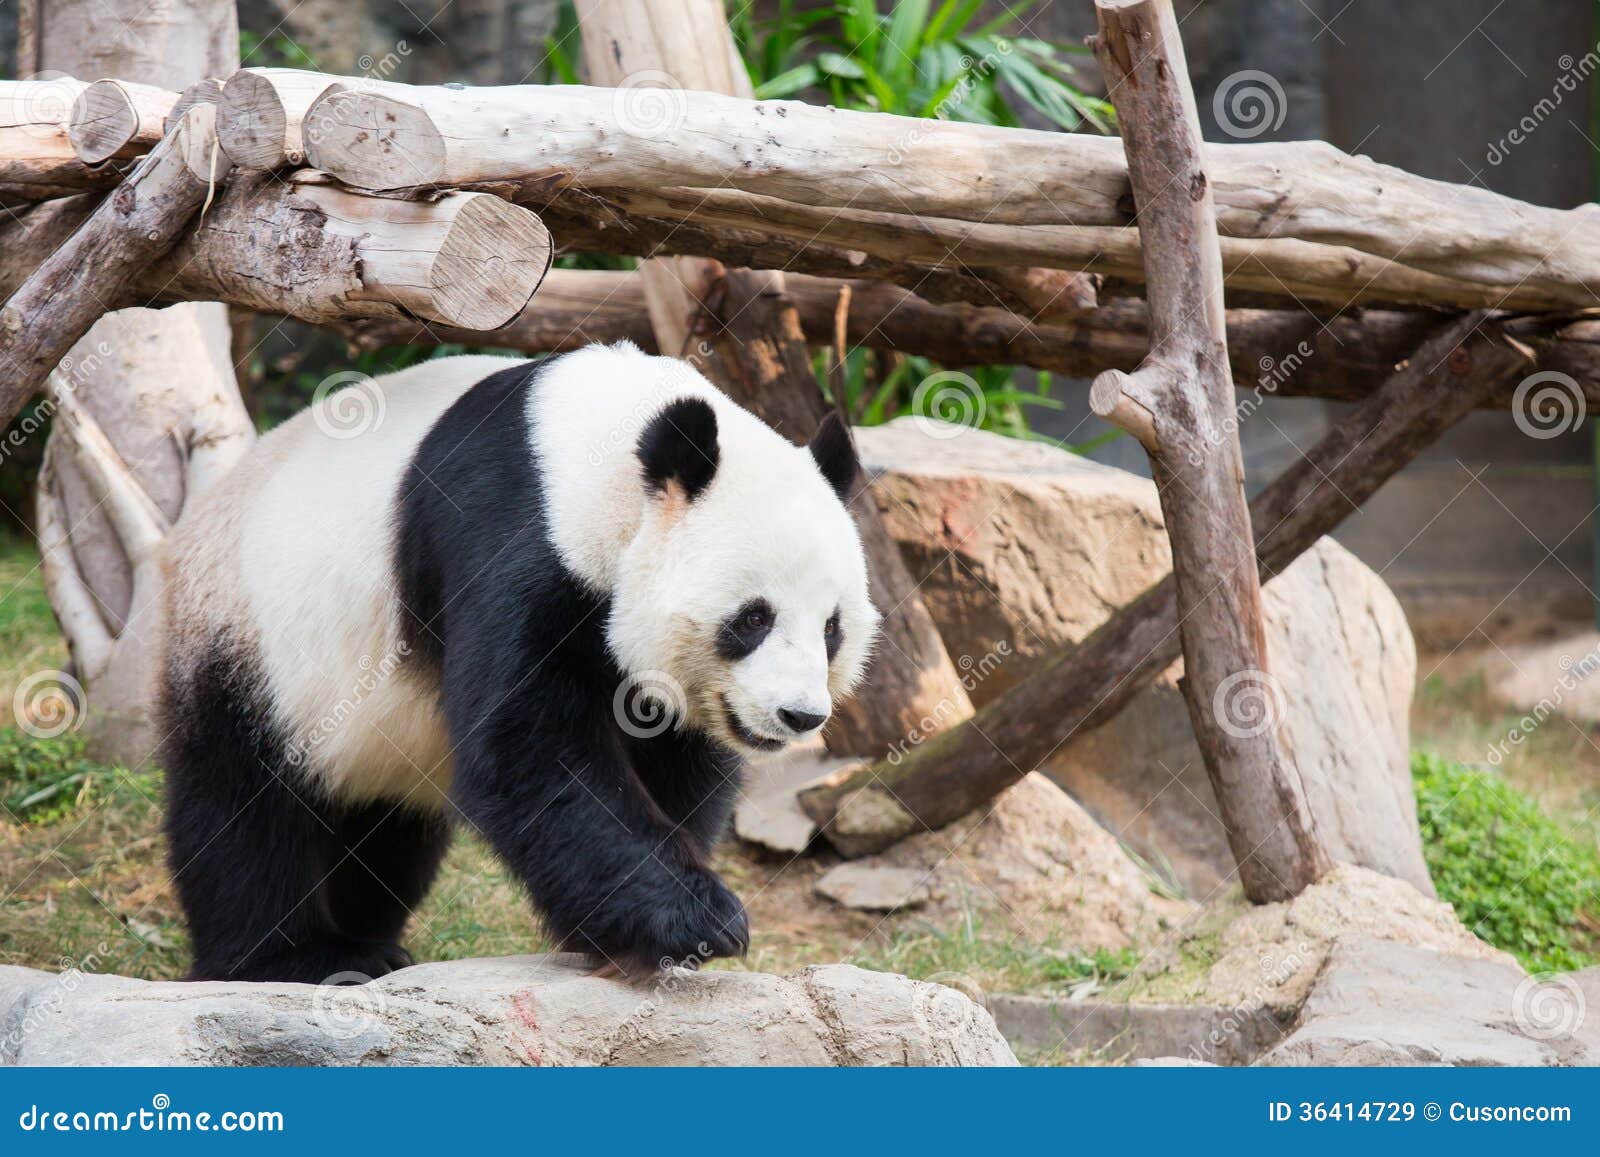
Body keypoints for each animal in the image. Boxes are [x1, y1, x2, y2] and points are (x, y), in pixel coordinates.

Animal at [157, 343, 878, 984]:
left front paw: (629, 930)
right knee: (242, 810)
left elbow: (669, 757)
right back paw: (294, 958)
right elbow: (527, 747)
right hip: (248, 642)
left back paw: (368, 940)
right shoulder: (507, 533)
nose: (799, 715)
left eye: (831, 627)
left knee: (385, 832)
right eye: (753, 618)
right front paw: (696, 919)